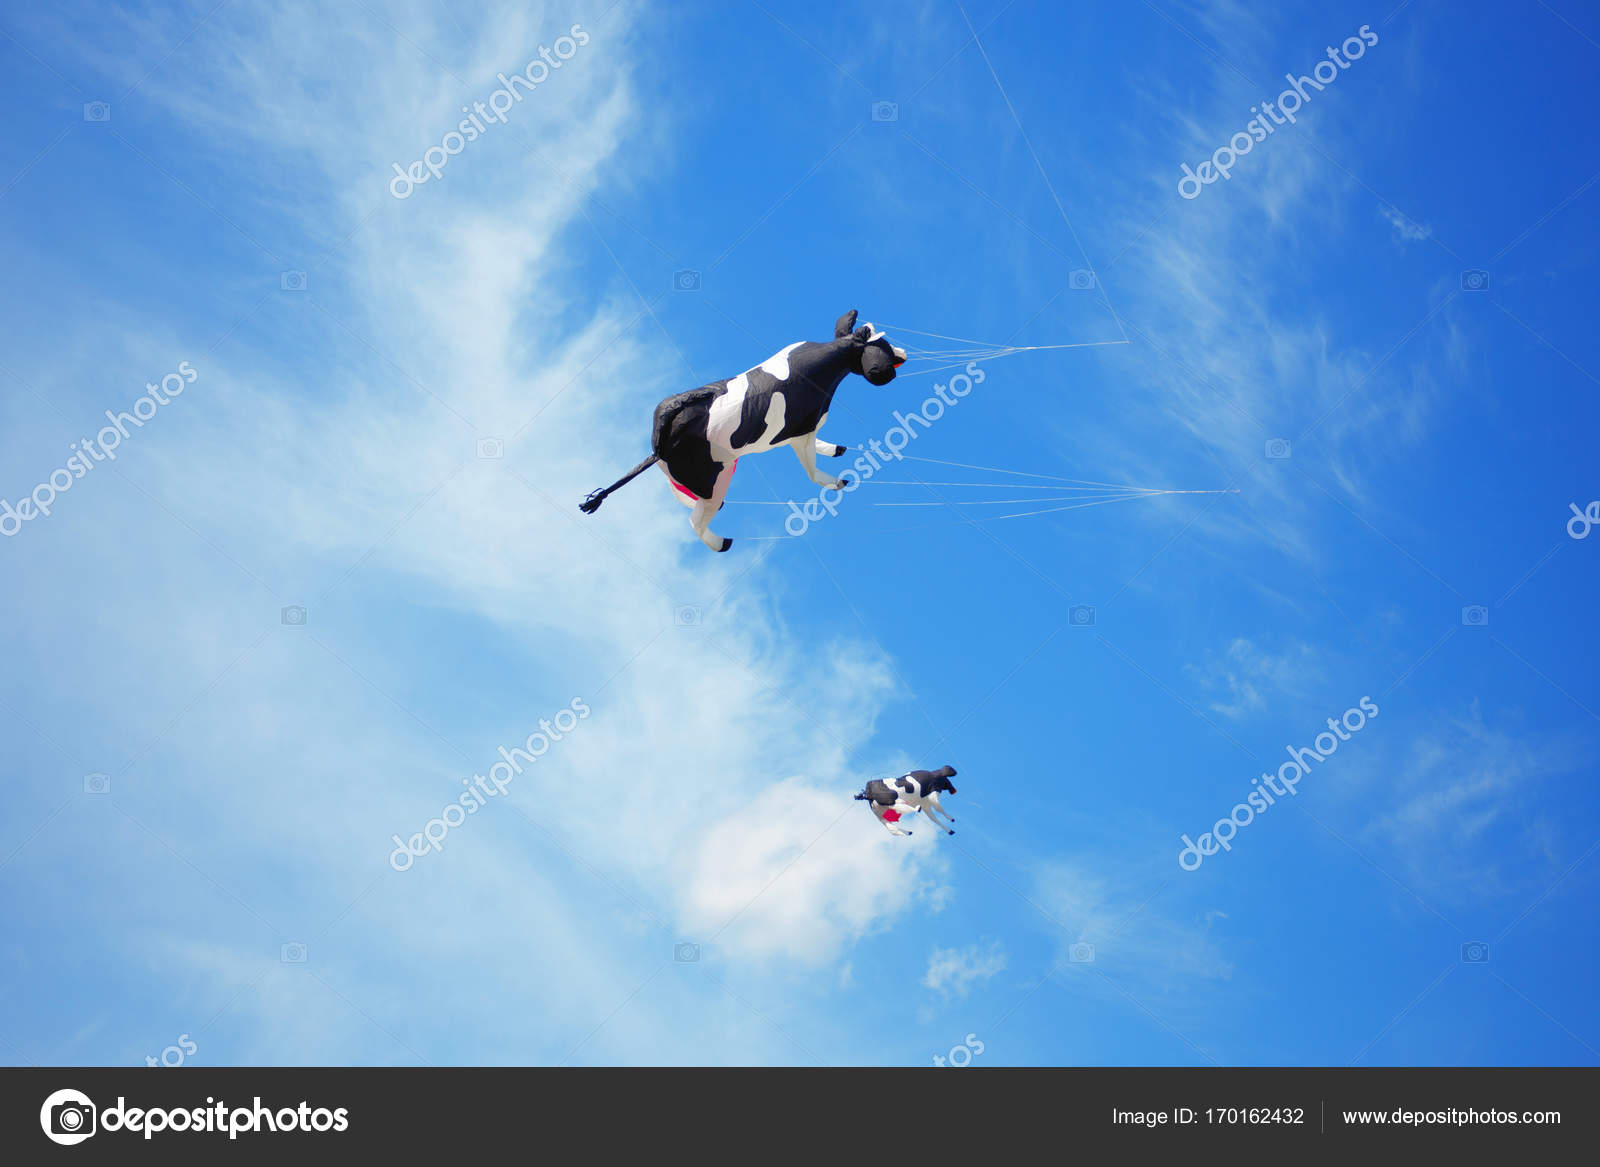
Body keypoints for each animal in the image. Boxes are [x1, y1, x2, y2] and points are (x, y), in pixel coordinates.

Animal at [579, 309, 906, 551]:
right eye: (880, 344)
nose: (901, 355)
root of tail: (661, 433)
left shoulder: (799, 430)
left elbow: (815, 448)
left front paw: (834, 449)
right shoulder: (801, 428)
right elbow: (811, 470)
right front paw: (837, 481)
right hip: (714, 479)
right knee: (695, 520)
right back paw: (721, 542)